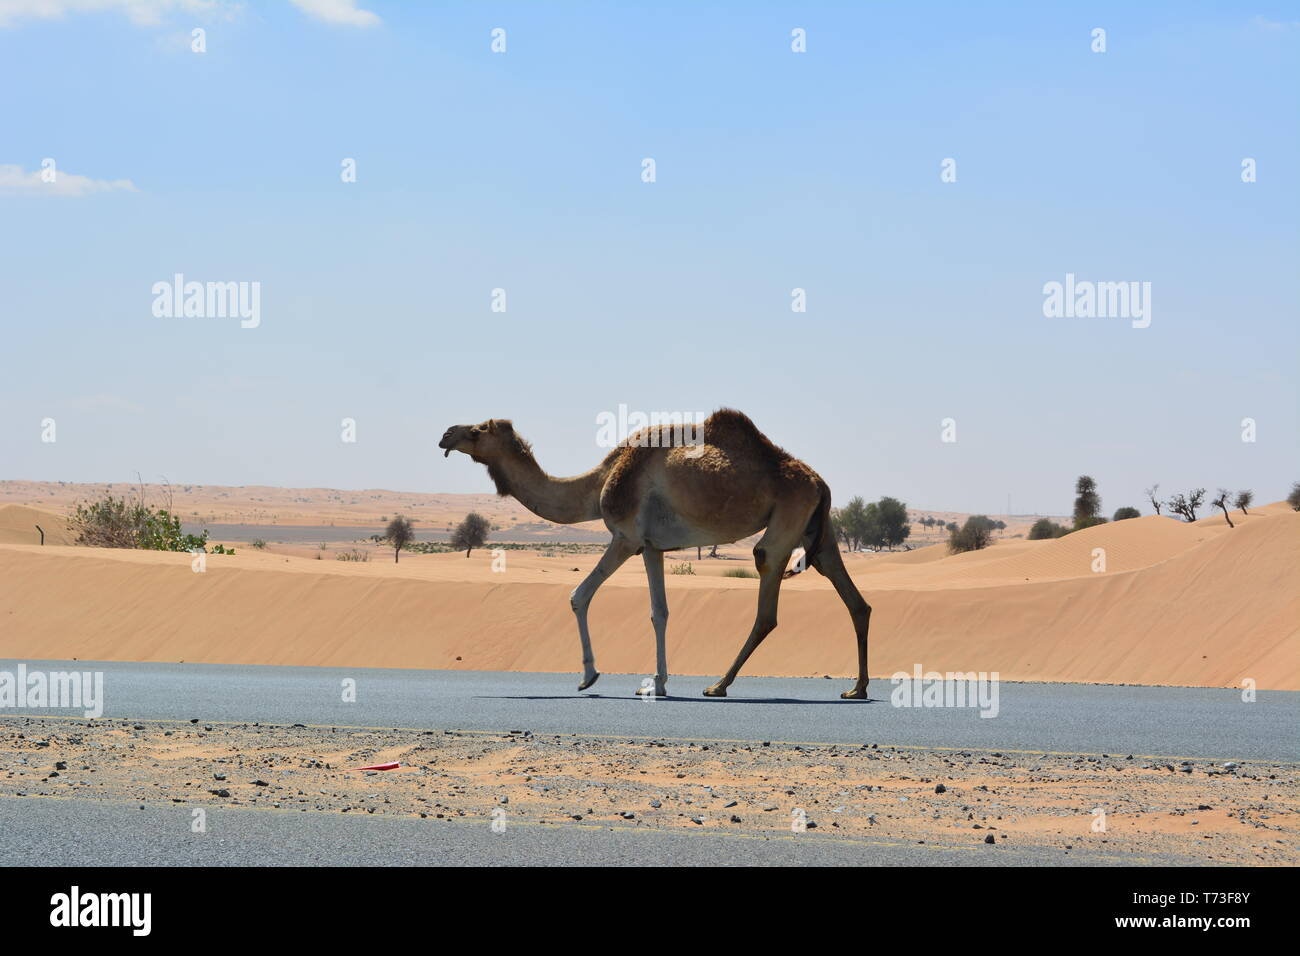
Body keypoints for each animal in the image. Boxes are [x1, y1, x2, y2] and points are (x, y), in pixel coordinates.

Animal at [438, 409, 872, 699]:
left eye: (476, 431)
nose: (445, 434)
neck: (601, 481)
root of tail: (819, 480)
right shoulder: (653, 547)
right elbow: (658, 611)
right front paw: (658, 683)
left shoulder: (627, 537)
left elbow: (580, 595)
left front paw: (590, 677)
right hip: (818, 528)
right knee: (854, 600)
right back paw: (857, 688)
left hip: (786, 518)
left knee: (767, 601)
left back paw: (718, 685)